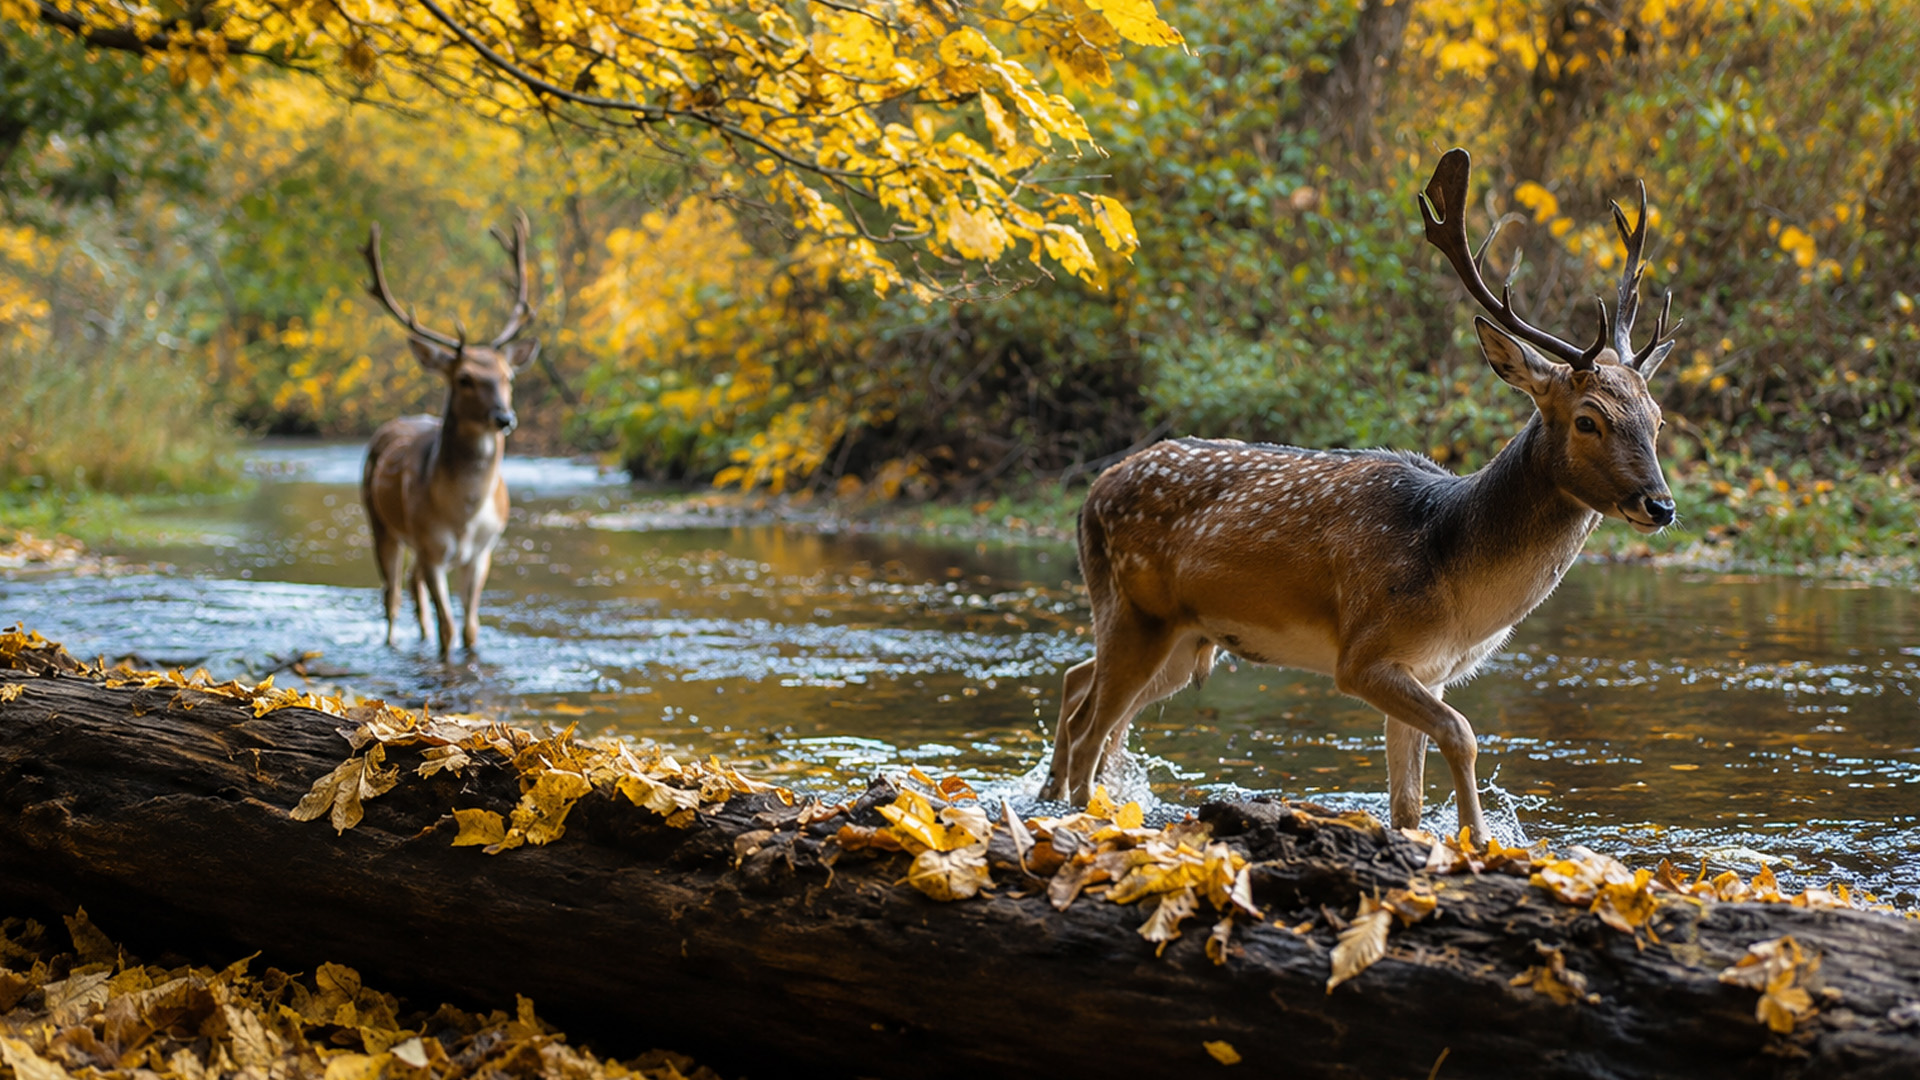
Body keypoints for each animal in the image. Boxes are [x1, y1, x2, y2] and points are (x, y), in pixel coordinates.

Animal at [359, 213, 540, 662]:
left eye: (508, 377)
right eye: (464, 378)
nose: (504, 417)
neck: (463, 516)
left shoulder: (483, 552)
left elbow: (472, 628)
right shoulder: (430, 548)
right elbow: (449, 627)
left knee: (410, 588)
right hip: (380, 522)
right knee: (391, 594)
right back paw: (392, 643)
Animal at [1040, 149, 1682, 846]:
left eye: (1657, 420)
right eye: (1589, 420)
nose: (1660, 505)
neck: (1455, 579)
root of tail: (1092, 491)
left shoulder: (1426, 669)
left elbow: (1407, 801)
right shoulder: (1364, 655)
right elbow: (1463, 732)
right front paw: (1478, 841)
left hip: (1182, 641)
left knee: (1078, 684)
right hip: (1138, 611)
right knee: (1090, 728)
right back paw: (1080, 814)